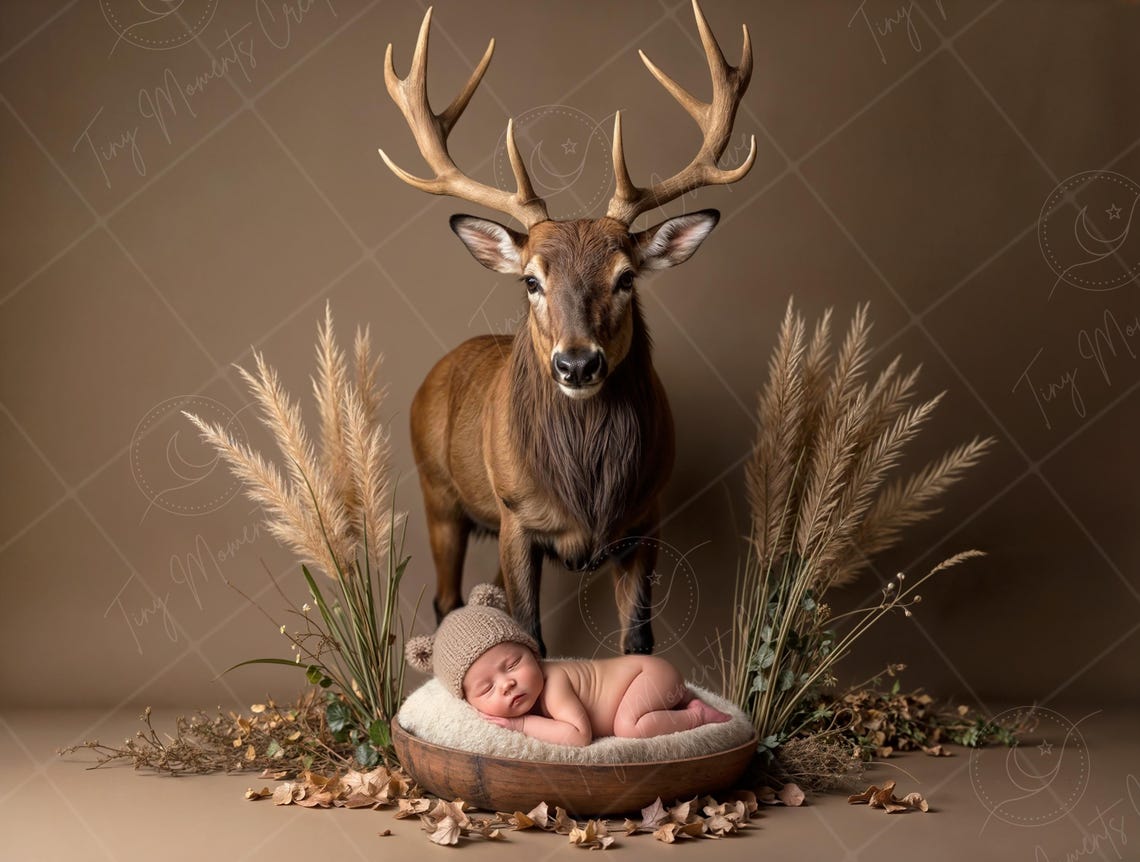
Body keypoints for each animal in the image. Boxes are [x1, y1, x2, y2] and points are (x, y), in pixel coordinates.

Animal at [379, 1, 755, 657]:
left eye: (626, 277)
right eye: (531, 280)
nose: (577, 363)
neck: (587, 496)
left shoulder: (646, 519)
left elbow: (639, 640)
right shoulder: (515, 519)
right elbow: (529, 636)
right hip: (437, 494)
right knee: (448, 600)